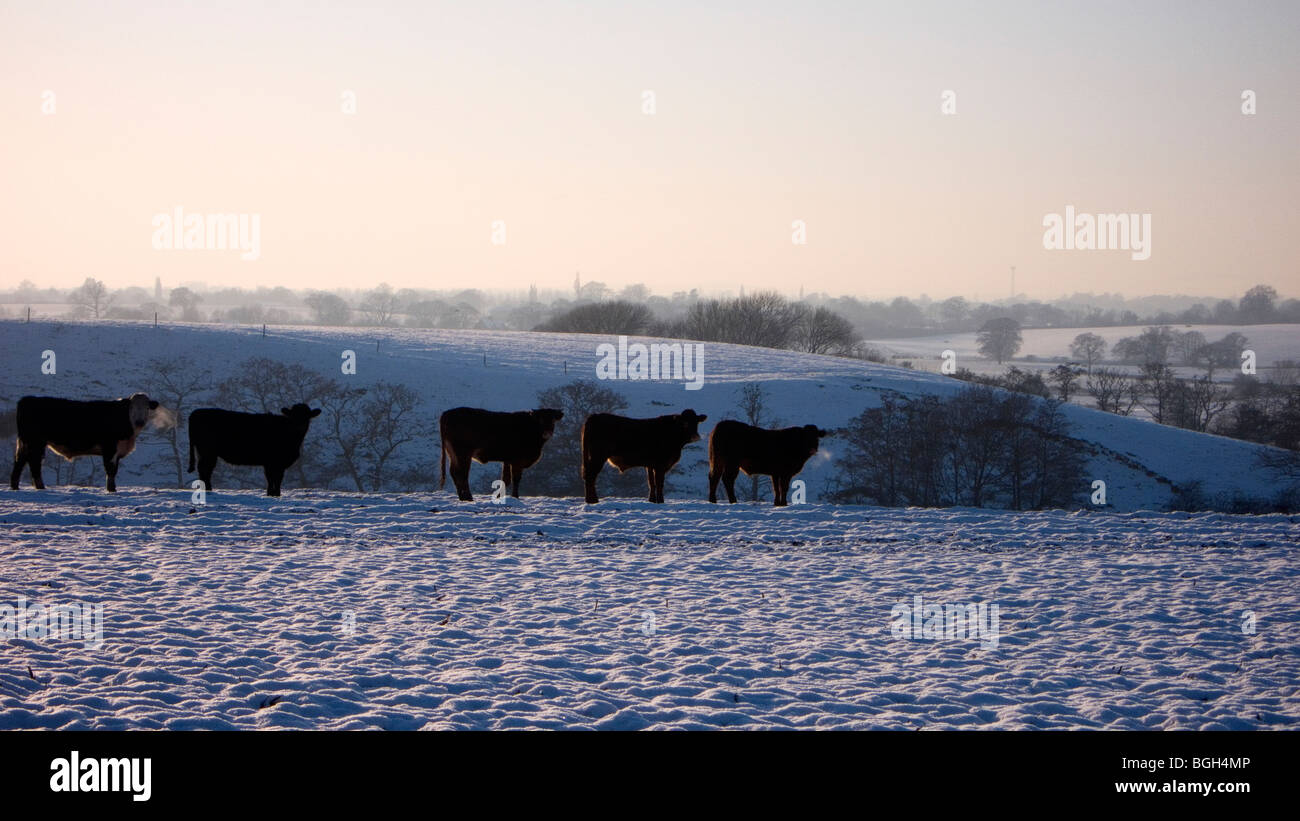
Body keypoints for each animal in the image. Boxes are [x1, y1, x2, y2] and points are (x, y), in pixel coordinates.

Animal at [10, 393, 160, 492]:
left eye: (147, 408)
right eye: (131, 408)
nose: (139, 421)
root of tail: (27, 399)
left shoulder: (118, 451)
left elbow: (114, 470)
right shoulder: (110, 448)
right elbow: (110, 470)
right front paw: (111, 490)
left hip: (26, 442)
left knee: (20, 461)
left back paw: (16, 486)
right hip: (35, 442)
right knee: (33, 463)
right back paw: (40, 487)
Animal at [188, 404, 322, 496]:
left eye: (307, 416)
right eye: (293, 416)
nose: (300, 426)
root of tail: (196, 412)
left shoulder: (274, 463)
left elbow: (275, 478)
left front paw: (273, 493)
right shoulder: (273, 462)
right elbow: (273, 478)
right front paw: (274, 493)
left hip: (206, 452)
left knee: (205, 469)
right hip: (207, 451)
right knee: (204, 469)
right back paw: (207, 489)